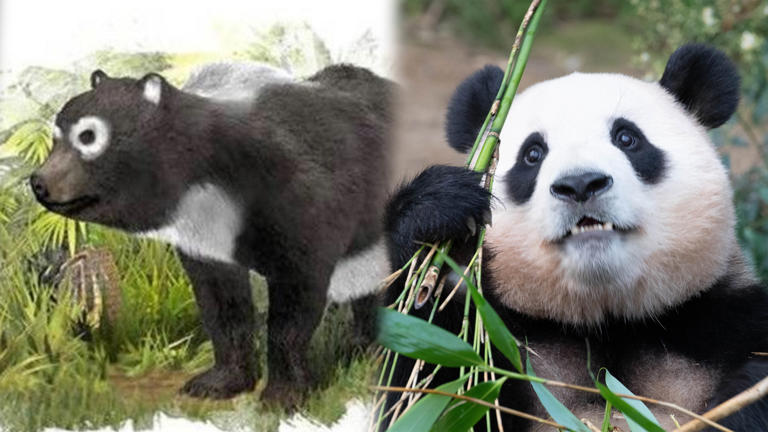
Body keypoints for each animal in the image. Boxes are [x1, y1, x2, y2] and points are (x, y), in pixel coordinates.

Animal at [30, 62, 393, 405]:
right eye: (56, 135)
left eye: (88, 136)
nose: (39, 182)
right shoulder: (206, 229)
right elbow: (222, 302)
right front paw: (218, 382)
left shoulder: (302, 199)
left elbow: (295, 296)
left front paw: (283, 394)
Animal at [384, 44, 768, 431]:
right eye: (533, 154)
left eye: (627, 138)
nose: (581, 184)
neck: (606, 321)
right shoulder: (500, 337)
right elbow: (426, 388)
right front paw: (436, 214)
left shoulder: (721, 322)